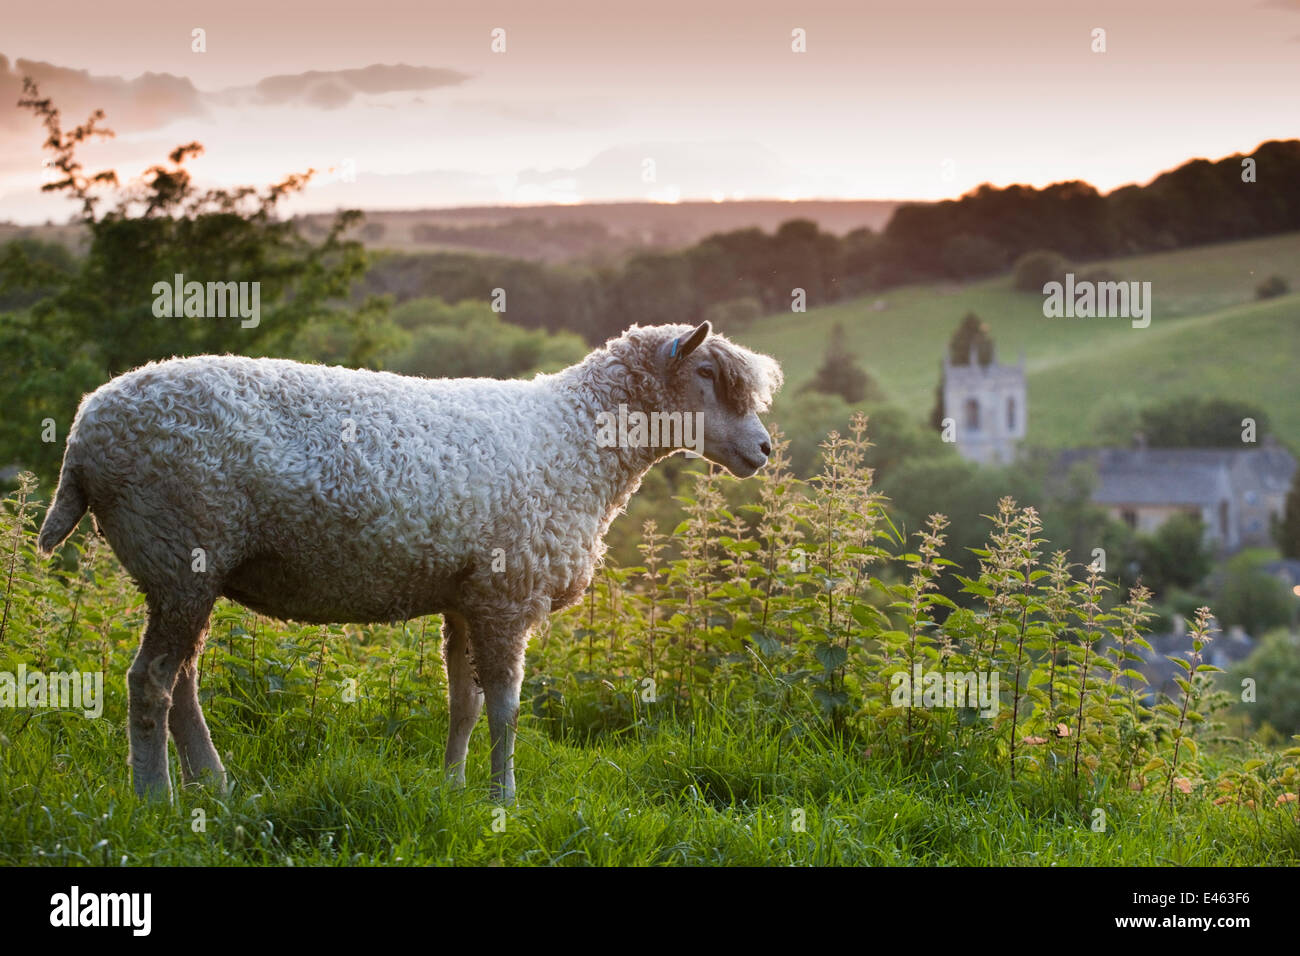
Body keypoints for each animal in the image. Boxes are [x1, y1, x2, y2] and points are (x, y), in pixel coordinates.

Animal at [37, 320, 782, 802]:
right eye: (706, 374)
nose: (765, 450)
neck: (579, 442)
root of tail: (84, 432)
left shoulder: (467, 595)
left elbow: (465, 704)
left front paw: (452, 787)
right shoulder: (507, 595)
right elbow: (507, 707)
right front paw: (504, 798)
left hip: (186, 571)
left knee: (181, 682)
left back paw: (214, 787)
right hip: (177, 555)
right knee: (149, 683)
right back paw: (155, 800)